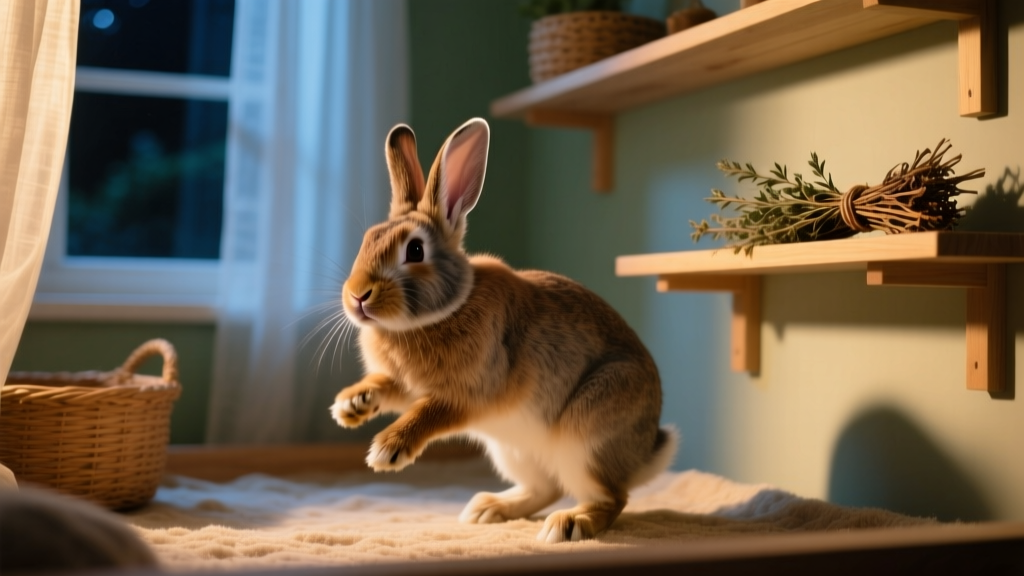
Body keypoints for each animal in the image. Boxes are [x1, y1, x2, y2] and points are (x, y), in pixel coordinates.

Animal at [331, 117, 677, 543]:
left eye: (414, 251)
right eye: (367, 241)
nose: (357, 296)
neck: (436, 315)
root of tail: (645, 452)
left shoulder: (471, 393)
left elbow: (431, 412)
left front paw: (387, 450)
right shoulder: (406, 385)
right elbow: (387, 387)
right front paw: (350, 405)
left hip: (587, 435)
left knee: (611, 497)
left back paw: (568, 525)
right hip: (515, 453)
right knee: (548, 487)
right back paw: (488, 509)